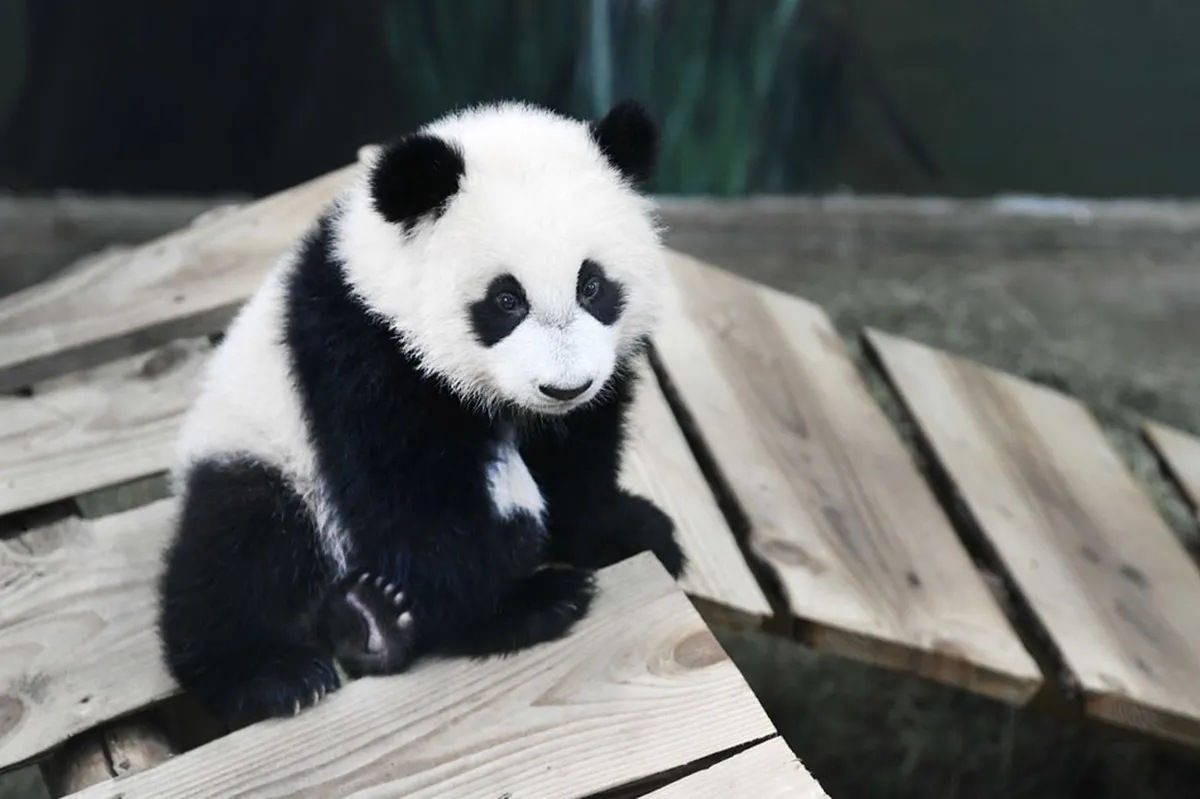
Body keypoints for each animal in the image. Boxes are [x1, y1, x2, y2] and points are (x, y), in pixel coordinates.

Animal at [156, 99, 686, 726]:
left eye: (592, 285)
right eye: (506, 300)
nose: (565, 386)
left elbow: (577, 457)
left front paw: (627, 532)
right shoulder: (363, 354)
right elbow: (413, 500)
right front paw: (514, 608)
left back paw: (365, 624)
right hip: (265, 452)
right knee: (241, 550)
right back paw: (290, 664)